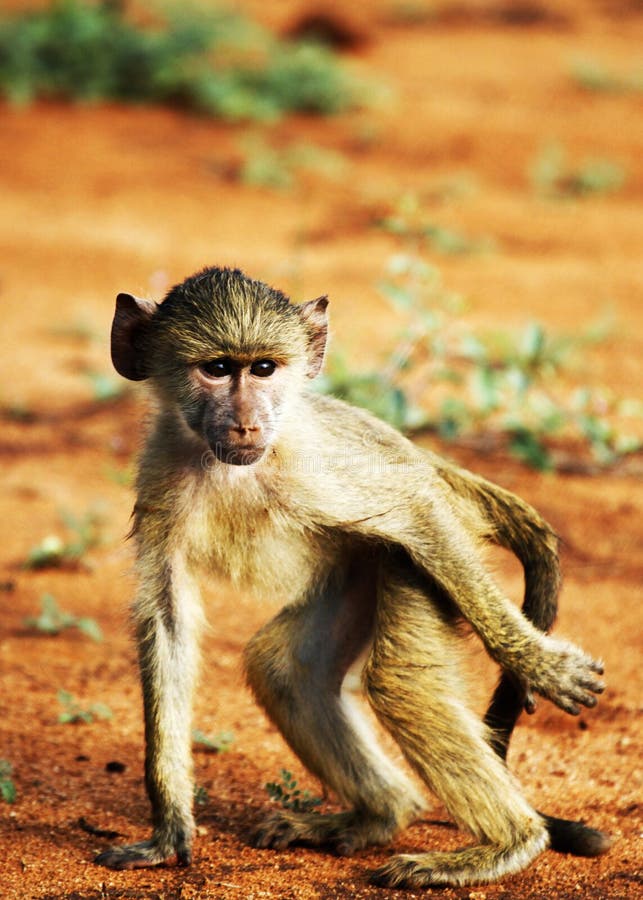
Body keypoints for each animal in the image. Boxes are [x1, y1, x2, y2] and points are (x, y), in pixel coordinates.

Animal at [95, 266, 610, 887]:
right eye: (216, 369)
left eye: (263, 368)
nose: (246, 424)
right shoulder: (162, 474)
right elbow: (168, 620)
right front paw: (170, 828)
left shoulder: (318, 465)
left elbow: (415, 504)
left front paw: (538, 664)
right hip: (359, 570)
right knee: (288, 670)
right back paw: (378, 817)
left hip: (411, 565)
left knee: (401, 680)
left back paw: (506, 844)